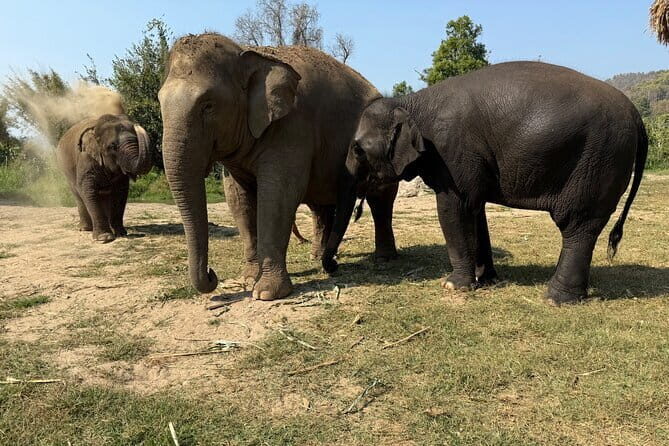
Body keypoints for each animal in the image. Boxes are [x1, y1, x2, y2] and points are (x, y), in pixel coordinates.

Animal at [57, 114, 152, 242]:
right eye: (112, 146)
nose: (137, 125)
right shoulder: (85, 159)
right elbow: (89, 192)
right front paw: (104, 238)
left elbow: (121, 193)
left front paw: (121, 234)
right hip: (66, 172)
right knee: (79, 197)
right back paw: (85, 229)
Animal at [158, 33, 398, 300]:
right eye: (159, 101)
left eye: (208, 105)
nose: (212, 274)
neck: (249, 53)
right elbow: (238, 199)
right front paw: (249, 278)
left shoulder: (292, 125)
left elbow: (278, 194)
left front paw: (265, 293)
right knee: (321, 207)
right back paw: (317, 256)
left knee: (381, 200)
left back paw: (384, 259)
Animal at [322, 61, 647, 305]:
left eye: (357, 149)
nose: (334, 268)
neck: (412, 102)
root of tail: (637, 115)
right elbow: (475, 209)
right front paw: (486, 279)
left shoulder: (452, 153)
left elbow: (453, 208)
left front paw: (454, 286)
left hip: (597, 161)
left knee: (577, 225)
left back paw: (555, 299)